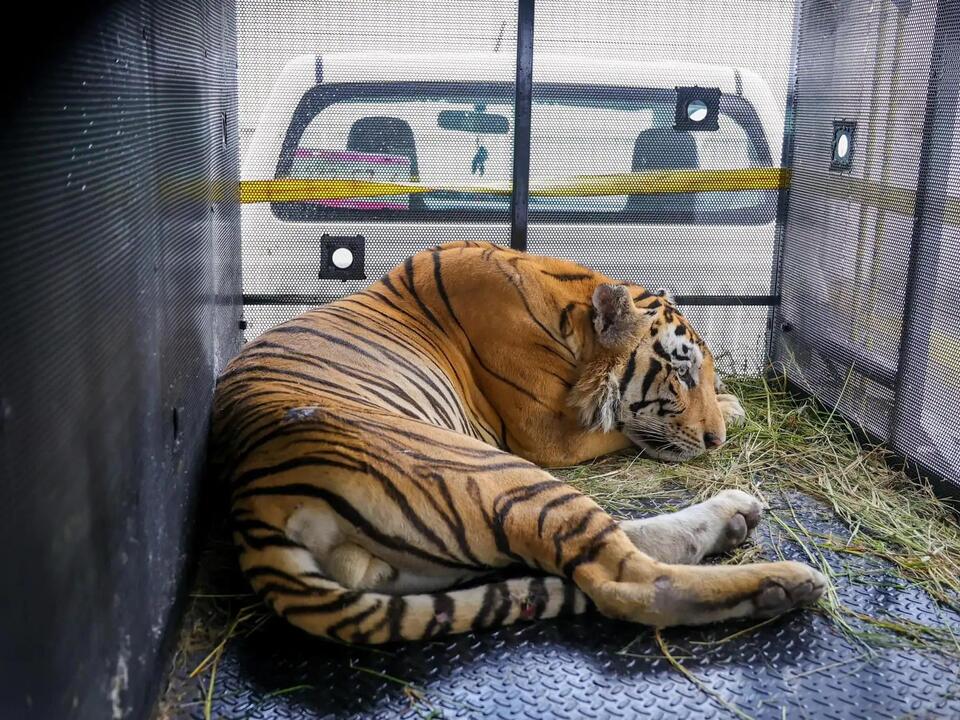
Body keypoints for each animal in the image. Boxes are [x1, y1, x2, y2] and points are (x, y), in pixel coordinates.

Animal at [212, 241, 826, 644]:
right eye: (681, 372)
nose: (715, 440)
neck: (569, 310)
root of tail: (252, 505)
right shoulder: (546, 435)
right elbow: (623, 430)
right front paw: (733, 408)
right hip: (489, 466)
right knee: (628, 583)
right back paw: (784, 583)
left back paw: (736, 515)